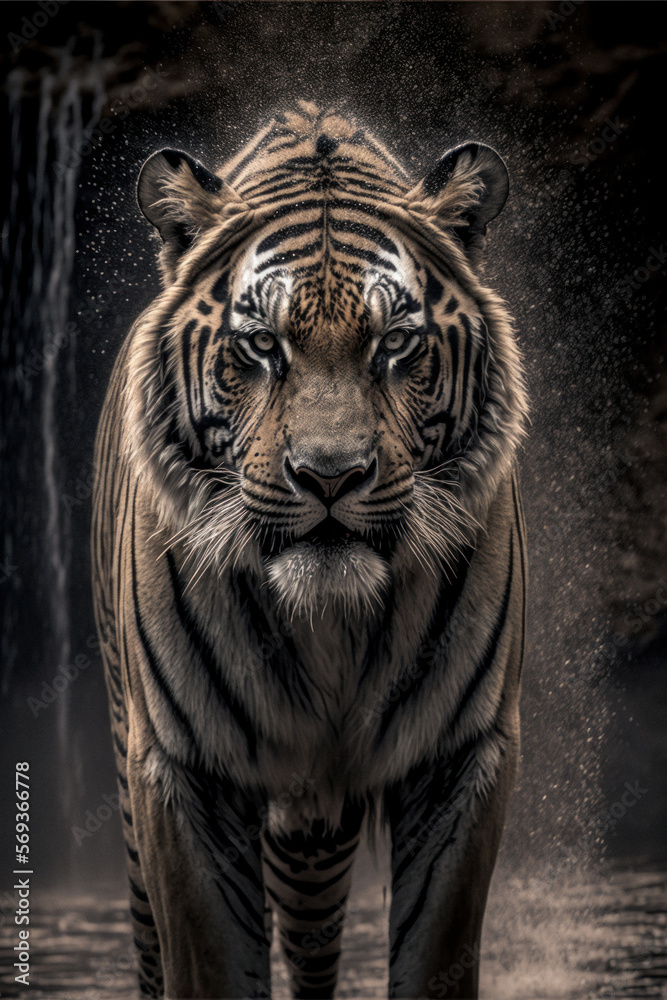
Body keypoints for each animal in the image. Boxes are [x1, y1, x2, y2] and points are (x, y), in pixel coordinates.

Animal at [91, 101, 528, 1000]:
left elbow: (434, 954)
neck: (330, 626)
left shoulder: (463, 756)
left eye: (395, 343)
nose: (330, 475)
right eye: (262, 345)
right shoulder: (182, 768)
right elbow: (210, 964)